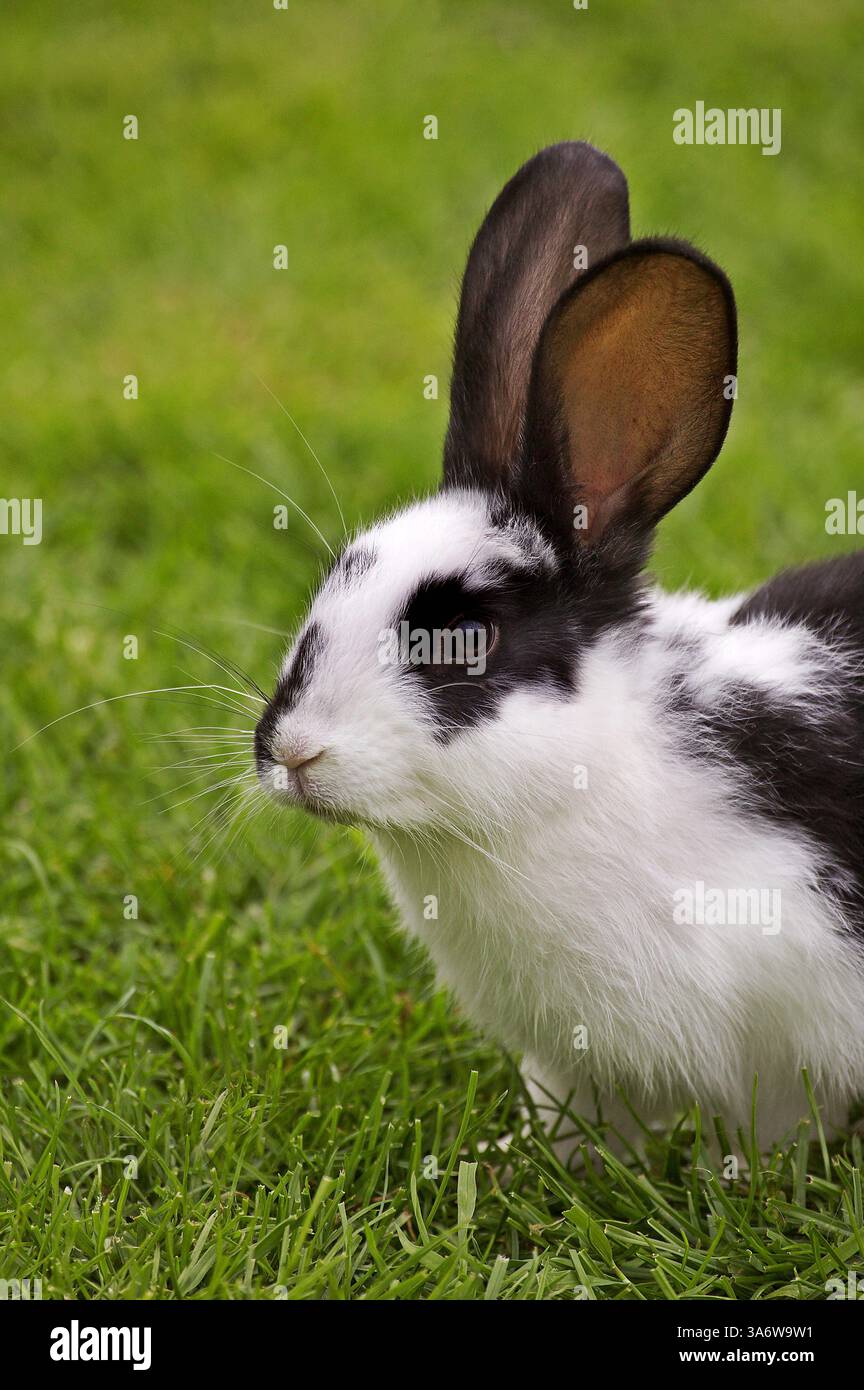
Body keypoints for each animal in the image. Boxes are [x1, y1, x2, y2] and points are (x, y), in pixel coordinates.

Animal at [253, 142, 864, 1158]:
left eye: (463, 639)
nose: (291, 753)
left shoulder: (794, 1023)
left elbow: (773, 1129)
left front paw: (736, 1179)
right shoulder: (577, 1063)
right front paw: (528, 1160)